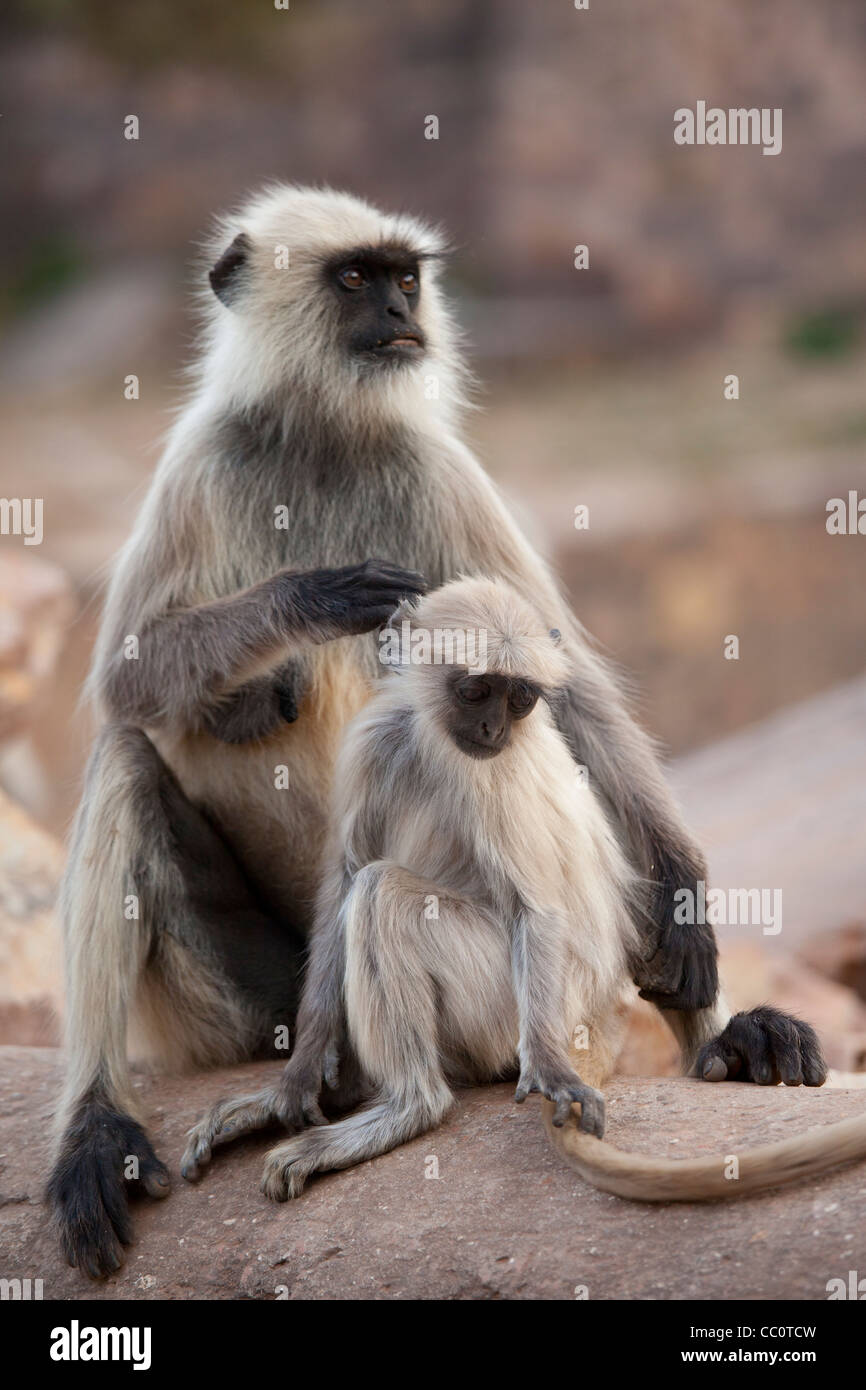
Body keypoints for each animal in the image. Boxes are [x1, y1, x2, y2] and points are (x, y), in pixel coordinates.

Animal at [50, 184, 721, 1278]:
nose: (403, 312)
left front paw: (684, 897)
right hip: (249, 1007)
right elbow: (126, 681)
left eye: (405, 276)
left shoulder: (433, 465)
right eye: (357, 277)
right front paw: (309, 601)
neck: (324, 432)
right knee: (126, 756)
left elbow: (569, 686)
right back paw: (99, 1127)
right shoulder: (204, 455)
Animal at [180, 577, 866, 1206]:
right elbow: (342, 877)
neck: (437, 741)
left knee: (385, 895)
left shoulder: (495, 769)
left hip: (501, 1011)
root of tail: (596, 1014)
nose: (490, 727)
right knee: (366, 886)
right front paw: (294, 1080)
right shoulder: (381, 737)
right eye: (476, 690)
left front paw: (551, 1072)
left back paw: (411, 1108)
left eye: (521, 698)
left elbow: (532, 910)